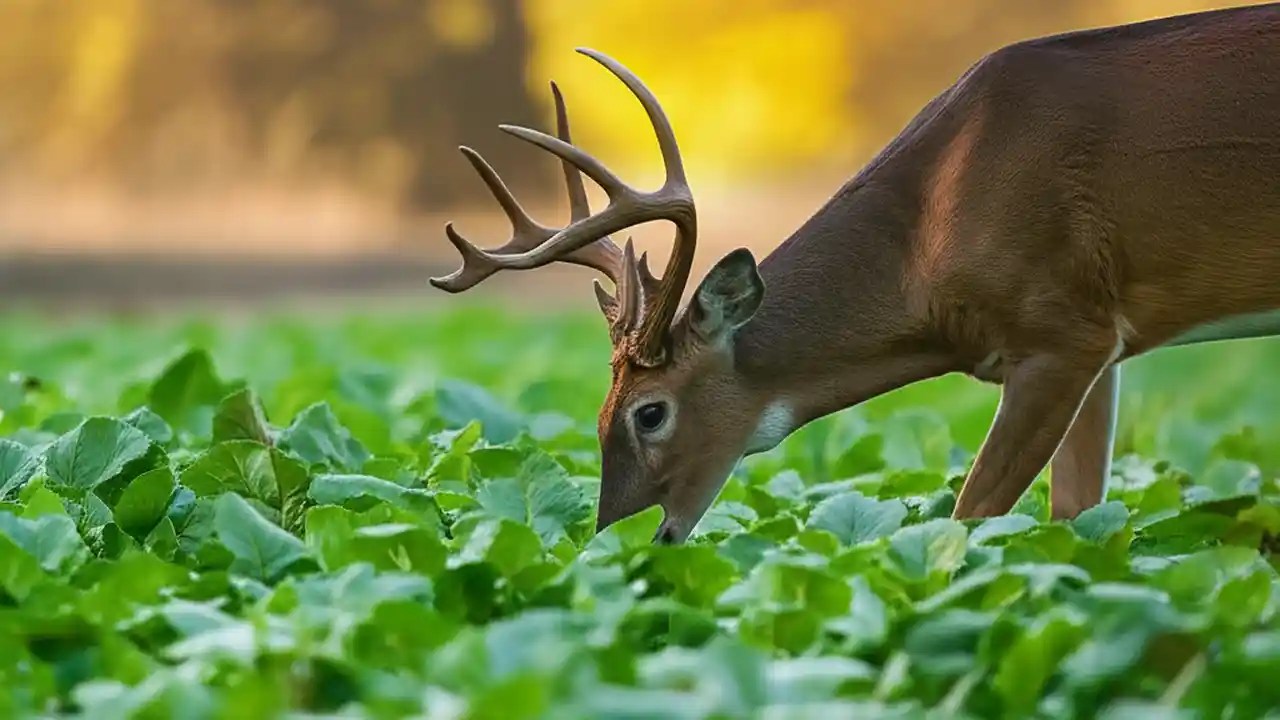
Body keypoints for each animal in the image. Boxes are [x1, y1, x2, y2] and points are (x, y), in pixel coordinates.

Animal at [431, 3, 1280, 544]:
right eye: (599, 412)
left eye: (649, 413)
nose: (612, 541)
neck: (932, 231)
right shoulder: (1102, 345)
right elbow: (1074, 522)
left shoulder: (1062, 330)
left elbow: (968, 519)